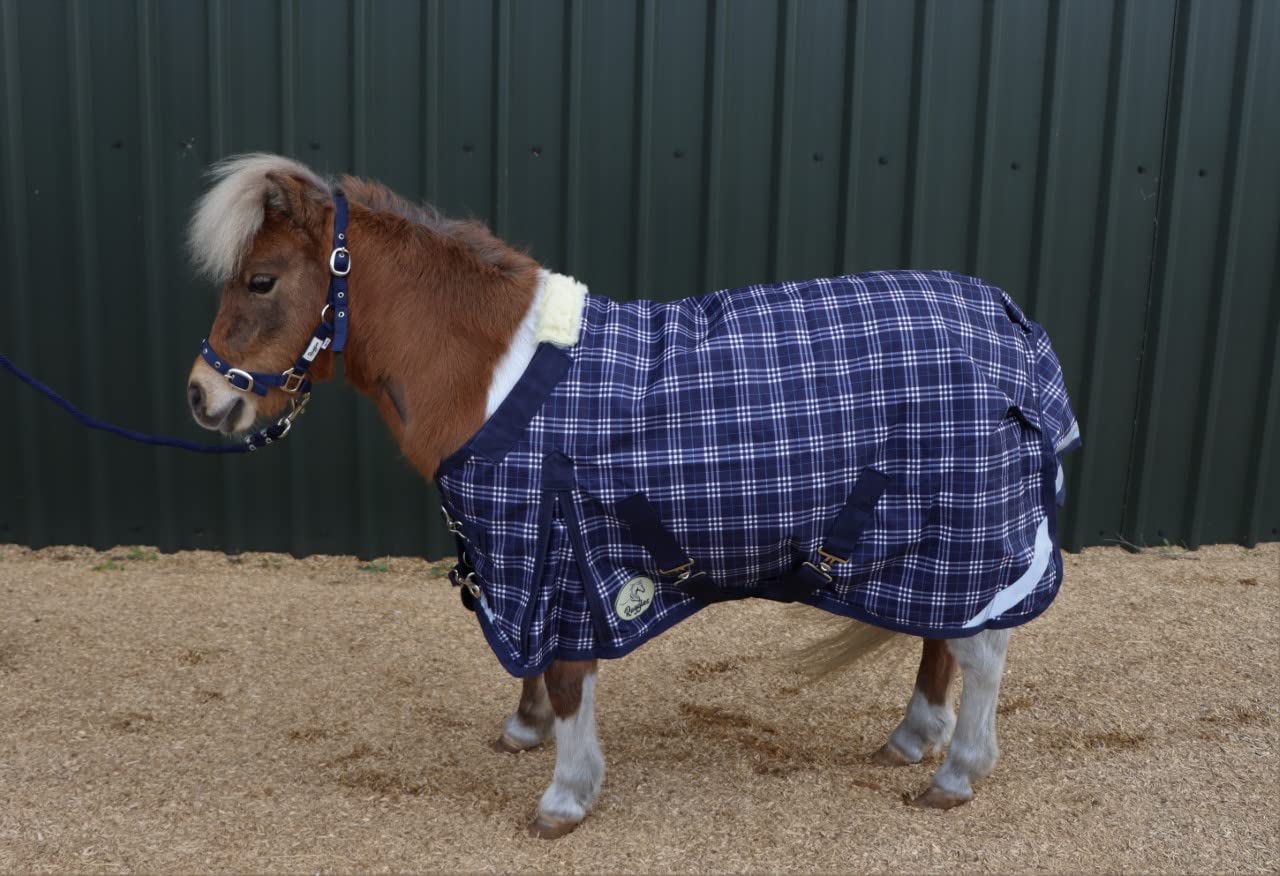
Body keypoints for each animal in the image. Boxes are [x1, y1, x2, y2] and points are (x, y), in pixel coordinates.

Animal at [185, 153, 1080, 838]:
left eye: (262, 281)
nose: (202, 396)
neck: (491, 372)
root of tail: (1011, 325)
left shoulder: (564, 549)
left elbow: (568, 673)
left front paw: (565, 795)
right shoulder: (527, 554)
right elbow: (535, 660)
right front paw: (525, 730)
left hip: (967, 523)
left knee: (984, 649)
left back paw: (957, 773)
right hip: (930, 540)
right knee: (945, 634)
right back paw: (912, 736)